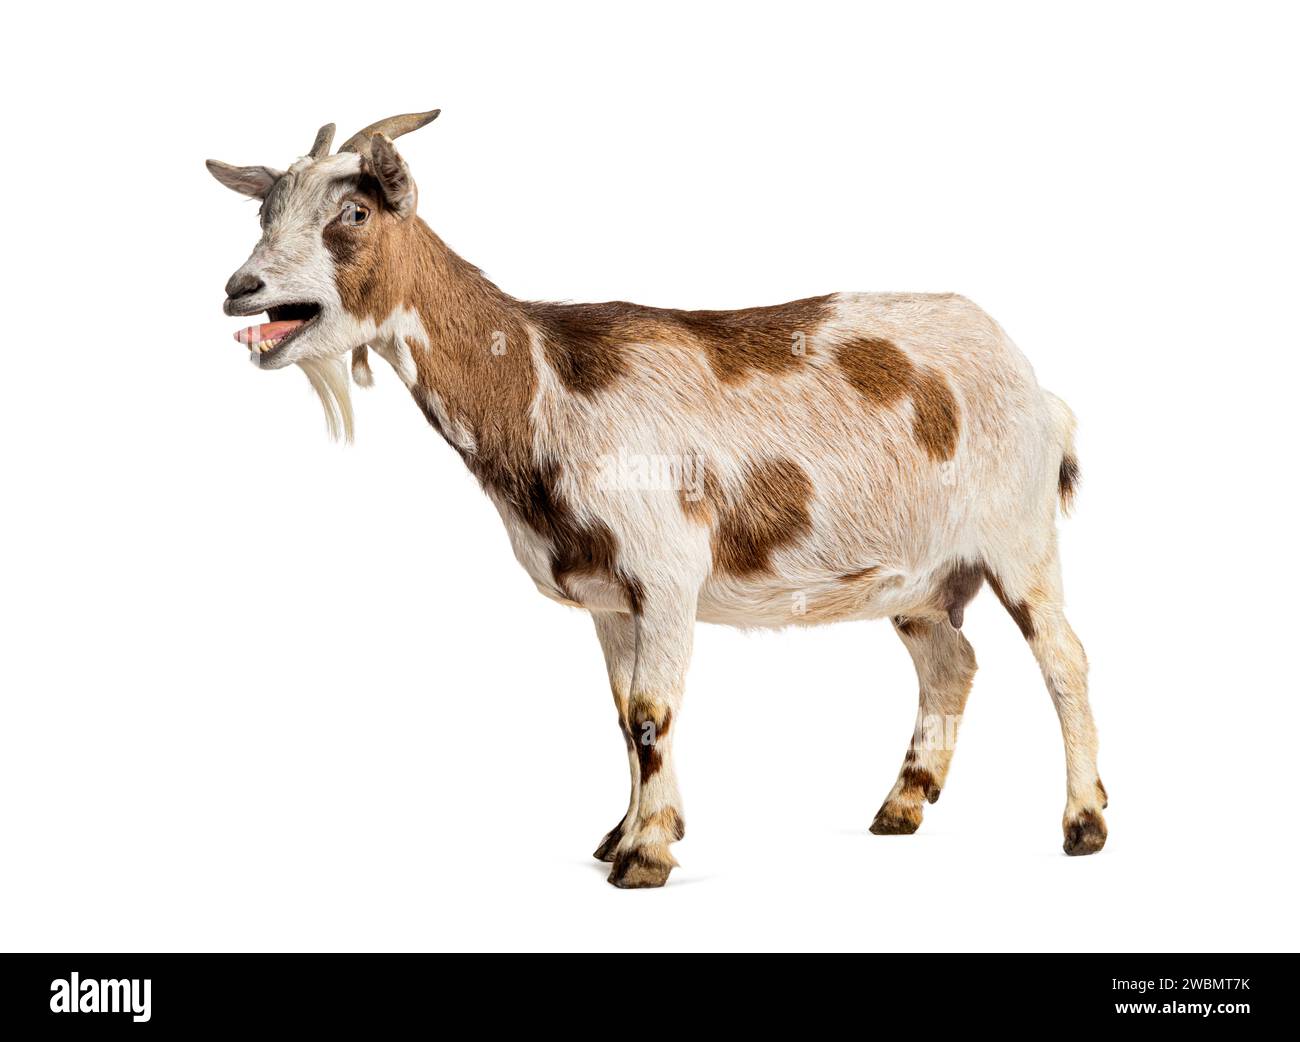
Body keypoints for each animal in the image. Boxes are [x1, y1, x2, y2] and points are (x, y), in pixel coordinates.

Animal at [208, 110, 1106, 887]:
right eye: (264, 213)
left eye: (354, 212)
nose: (241, 288)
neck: (545, 383)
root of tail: (1039, 387)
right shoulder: (611, 598)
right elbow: (619, 712)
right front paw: (622, 834)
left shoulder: (667, 572)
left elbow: (651, 710)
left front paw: (643, 856)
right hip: (920, 576)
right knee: (949, 664)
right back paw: (900, 808)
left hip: (1018, 537)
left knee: (1062, 657)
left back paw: (1083, 825)